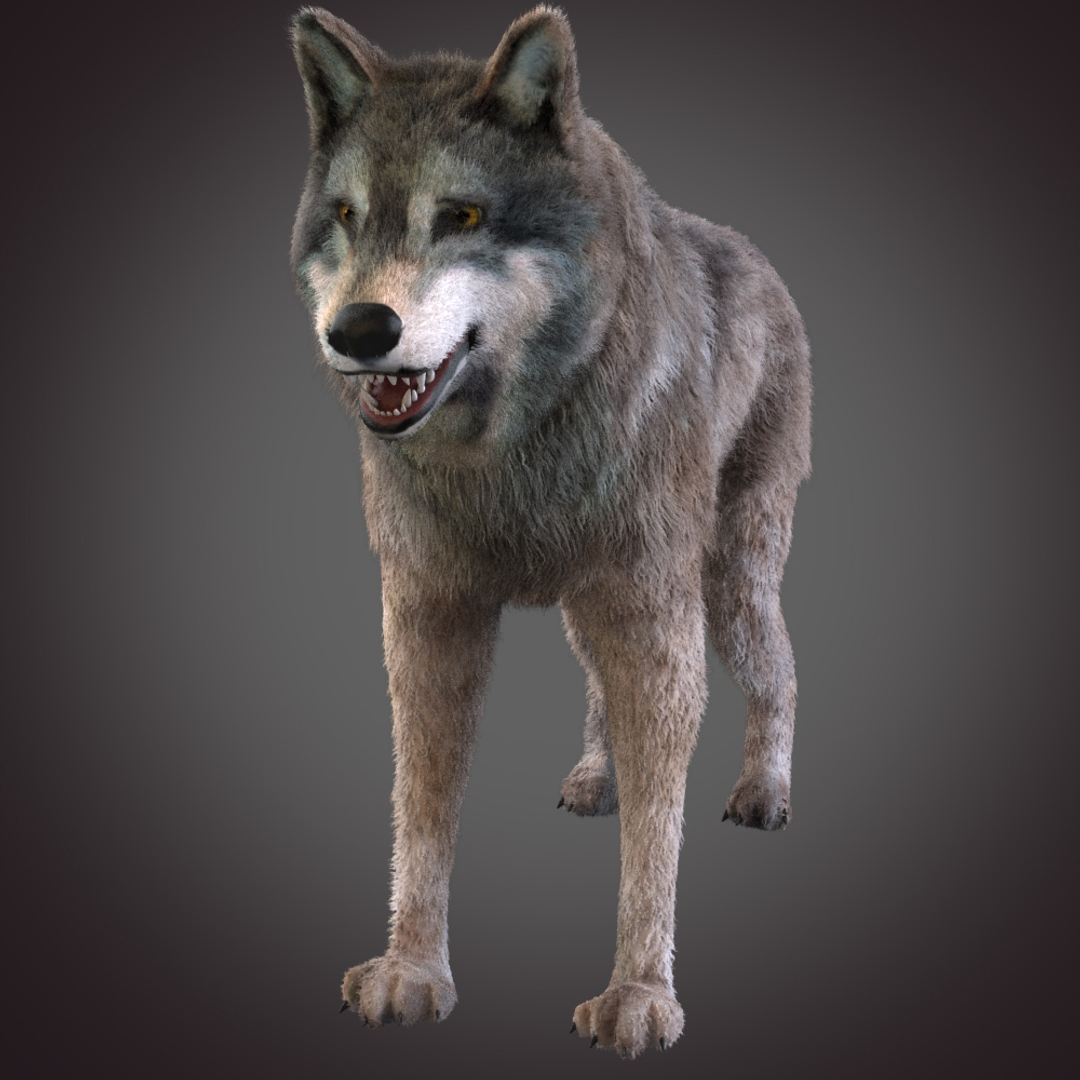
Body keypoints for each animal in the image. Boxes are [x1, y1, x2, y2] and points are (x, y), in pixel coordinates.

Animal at [290, 5, 811, 1059]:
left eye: (462, 217)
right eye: (348, 217)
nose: (358, 329)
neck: (508, 455)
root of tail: (758, 256)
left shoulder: (654, 619)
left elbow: (657, 835)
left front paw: (639, 997)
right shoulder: (428, 616)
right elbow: (422, 813)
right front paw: (411, 971)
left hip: (729, 585)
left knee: (781, 672)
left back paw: (765, 795)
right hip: (592, 606)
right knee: (599, 692)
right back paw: (594, 778)